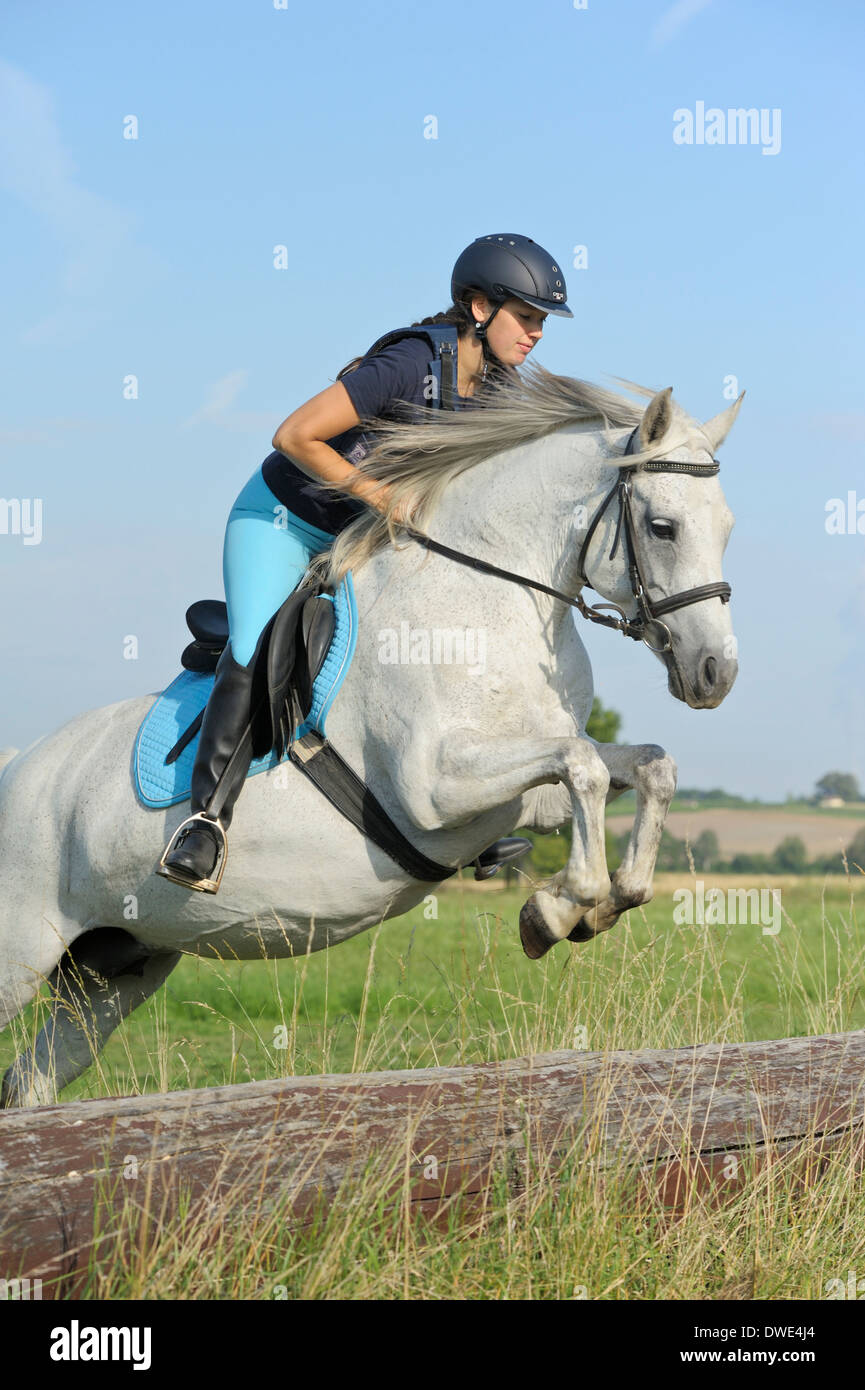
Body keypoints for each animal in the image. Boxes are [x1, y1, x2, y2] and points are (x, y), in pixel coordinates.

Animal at [0, 367, 742, 1106]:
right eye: (663, 527)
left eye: (726, 527)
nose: (716, 672)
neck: (485, 599)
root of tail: (18, 768)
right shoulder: (431, 790)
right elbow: (582, 764)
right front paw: (561, 910)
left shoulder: (525, 798)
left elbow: (645, 766)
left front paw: (598, 902)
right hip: (21, 952)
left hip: (112, 969)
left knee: (29, 1084)